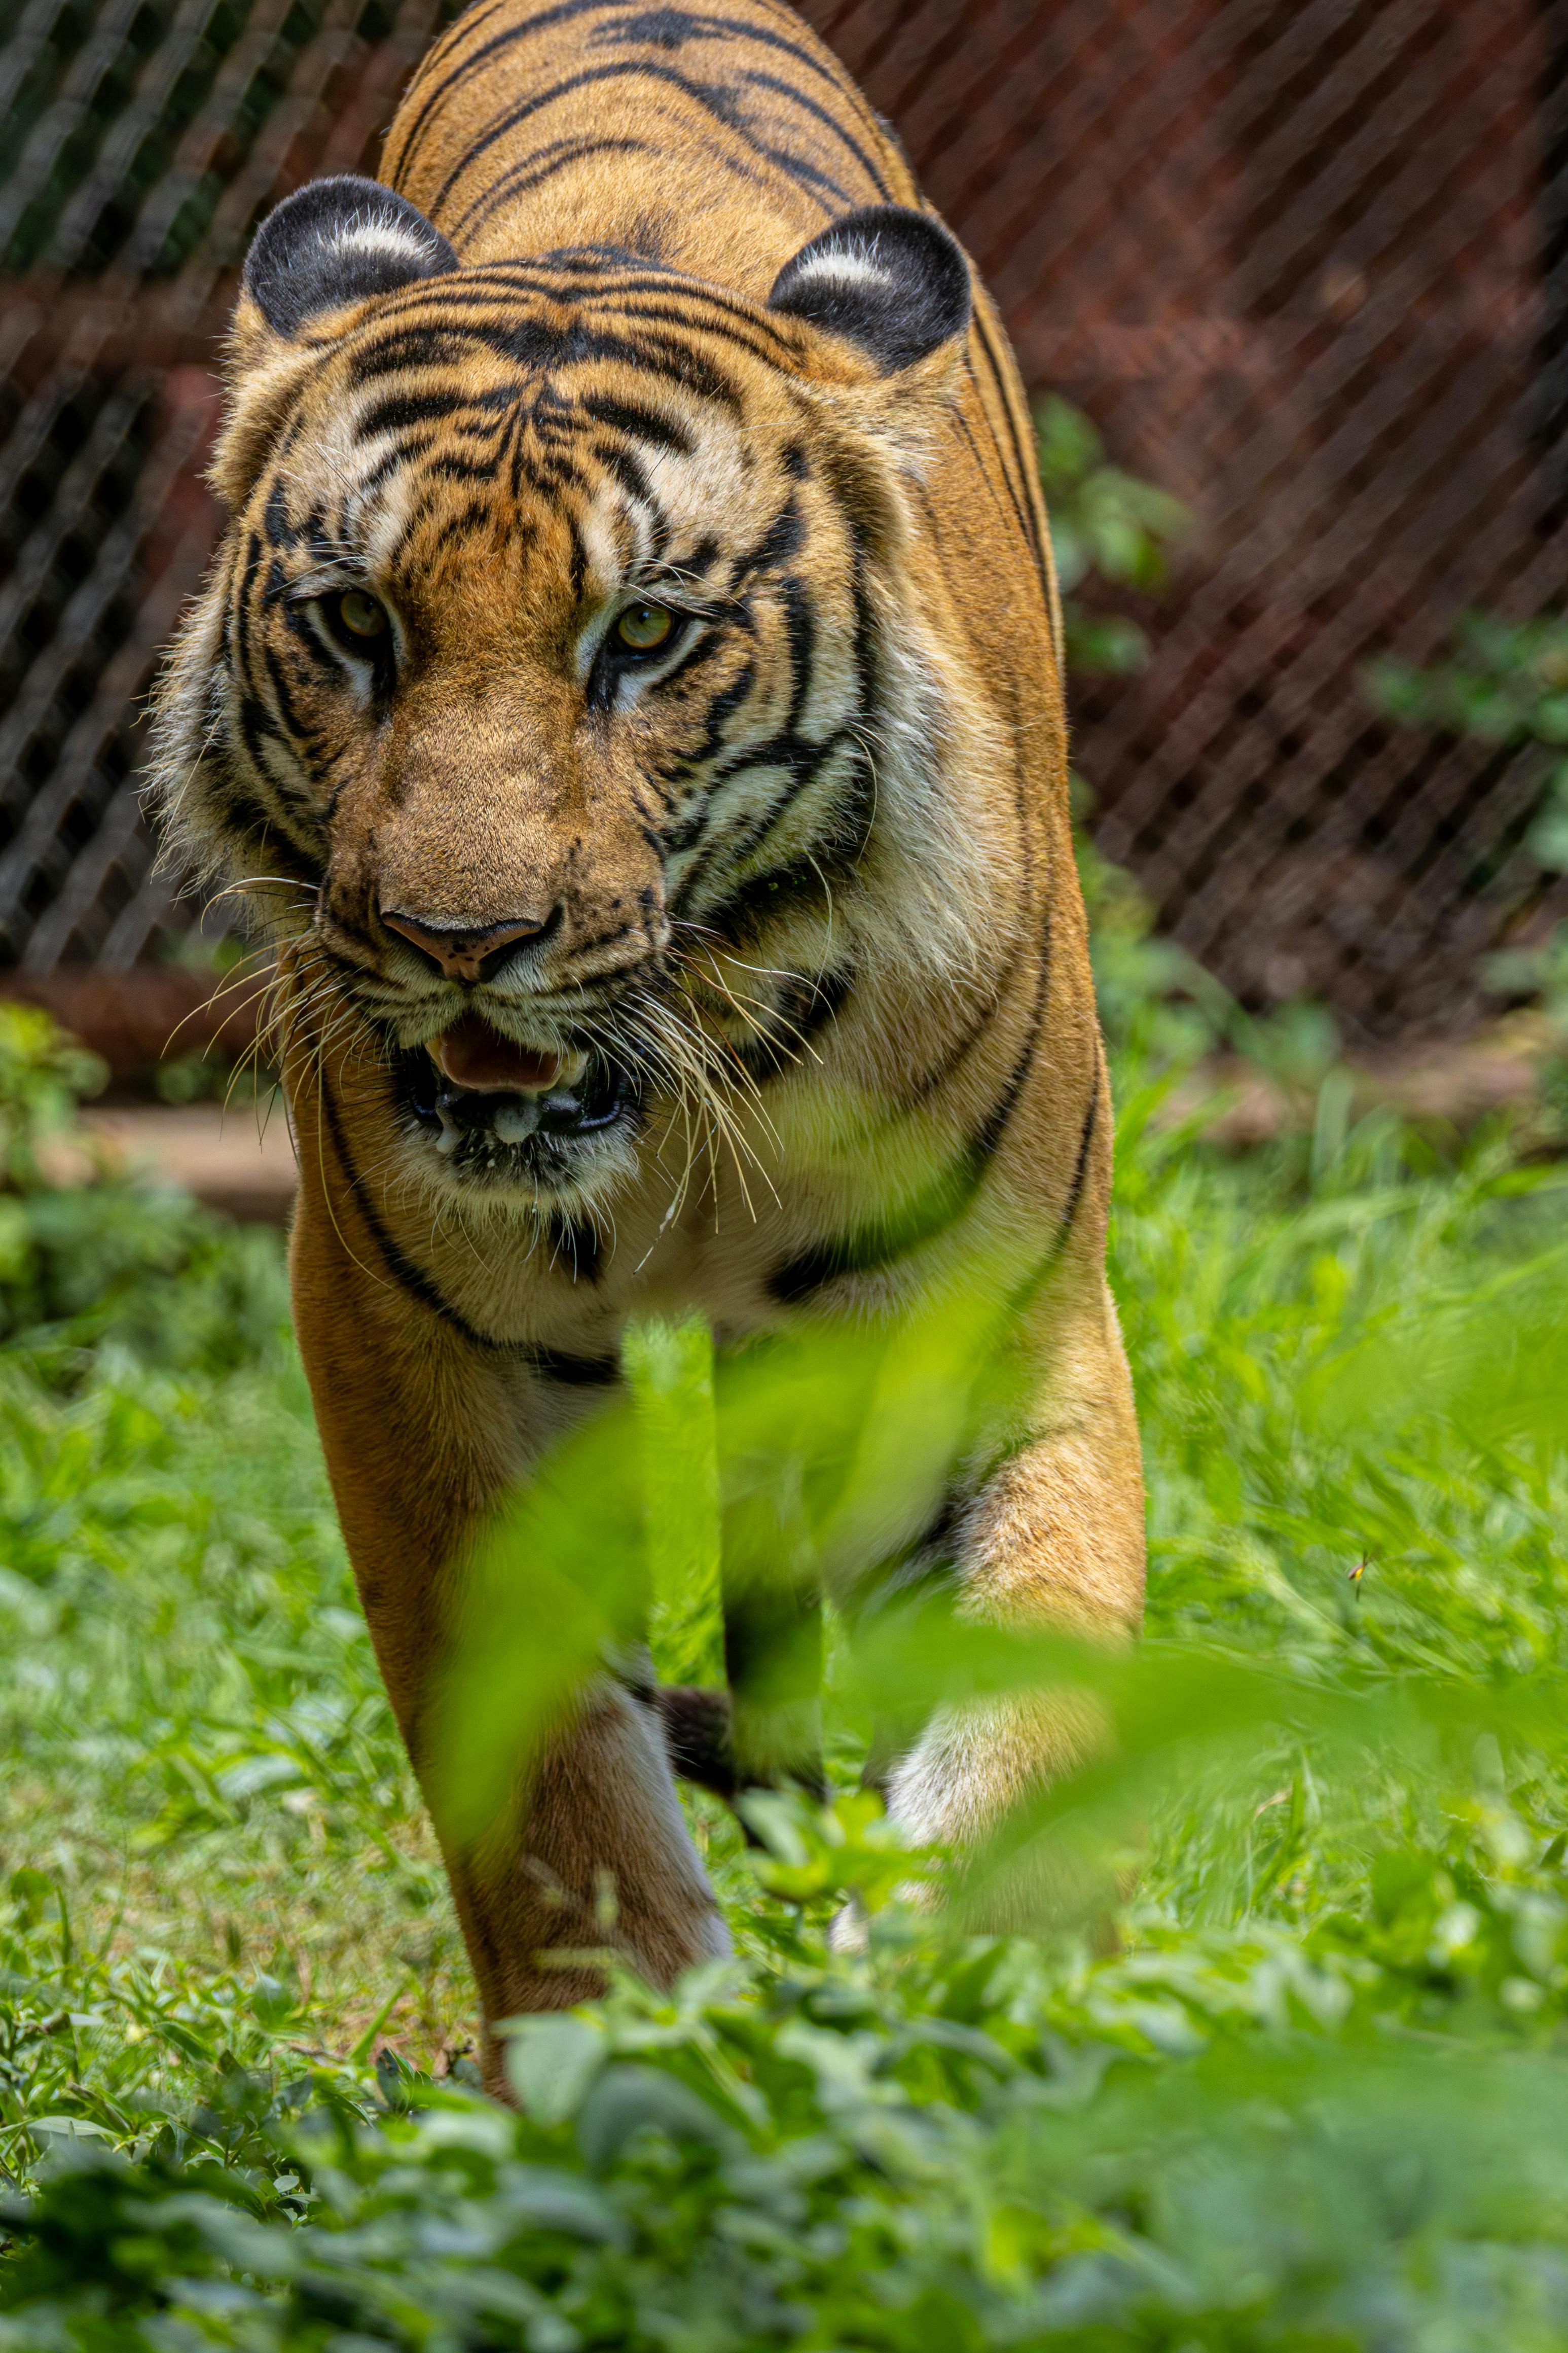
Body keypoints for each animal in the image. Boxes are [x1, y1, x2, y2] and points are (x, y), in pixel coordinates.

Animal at [152, 0, 1146, 2083]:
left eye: (646, 635)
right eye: (353, 622)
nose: (458, 942)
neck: (698, 1087)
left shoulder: (1008, 1328)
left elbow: (1030, 1717)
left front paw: (961, 2013)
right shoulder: (404, 1339)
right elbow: (545, 1773)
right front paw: (621, 2054)